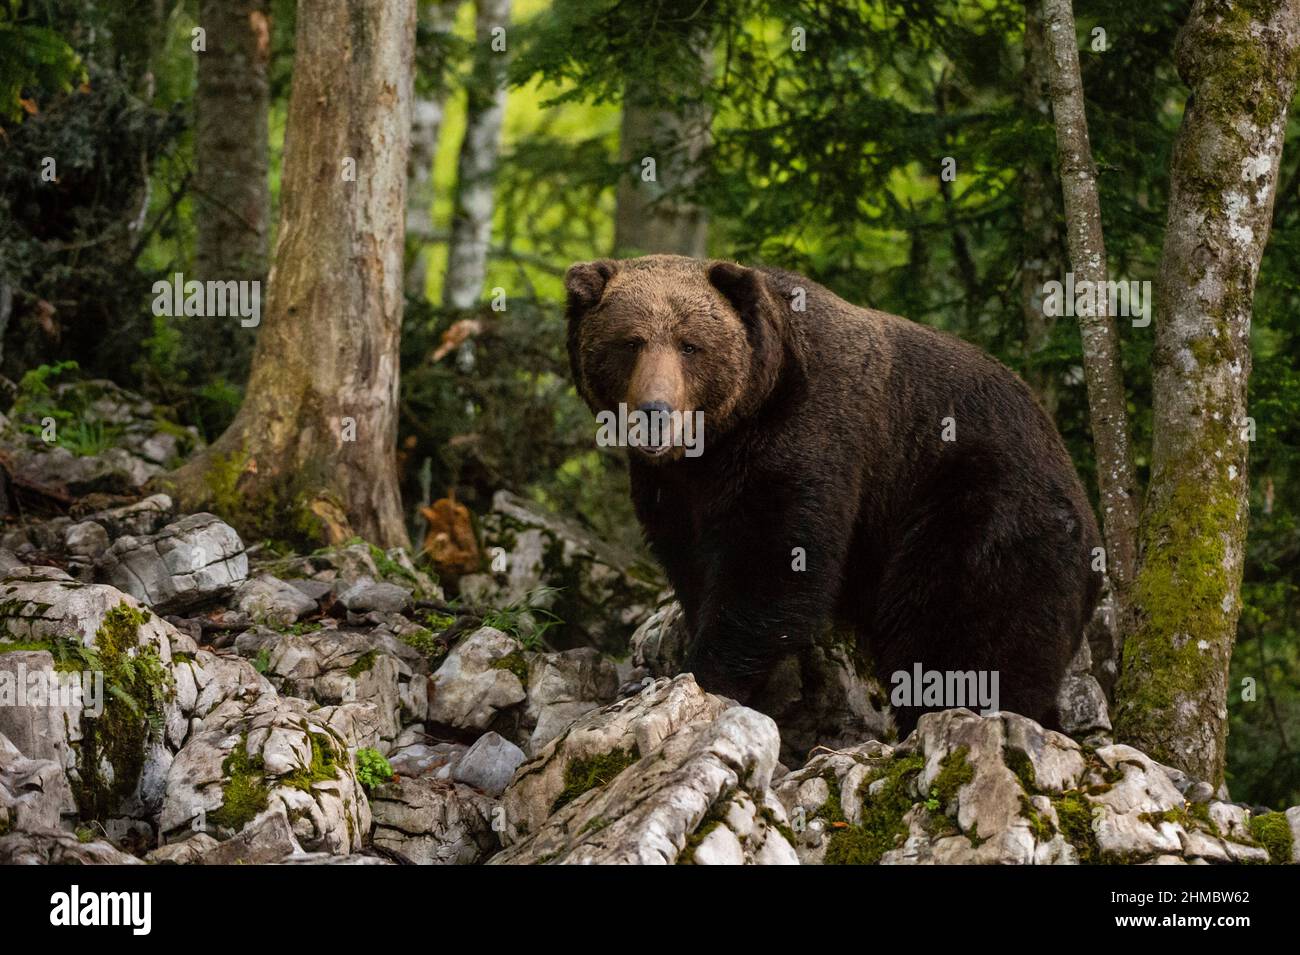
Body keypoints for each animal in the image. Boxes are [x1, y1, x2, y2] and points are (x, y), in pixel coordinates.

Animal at [565, 254, 1102, 735]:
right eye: (630, 342)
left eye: (690, 345)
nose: (655, 412)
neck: (720, 440)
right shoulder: (675, 488)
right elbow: (692, 563)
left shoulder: (807, 435)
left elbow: (774, 561)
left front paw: (701, 674)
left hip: (982, 509)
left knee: (962, 629)